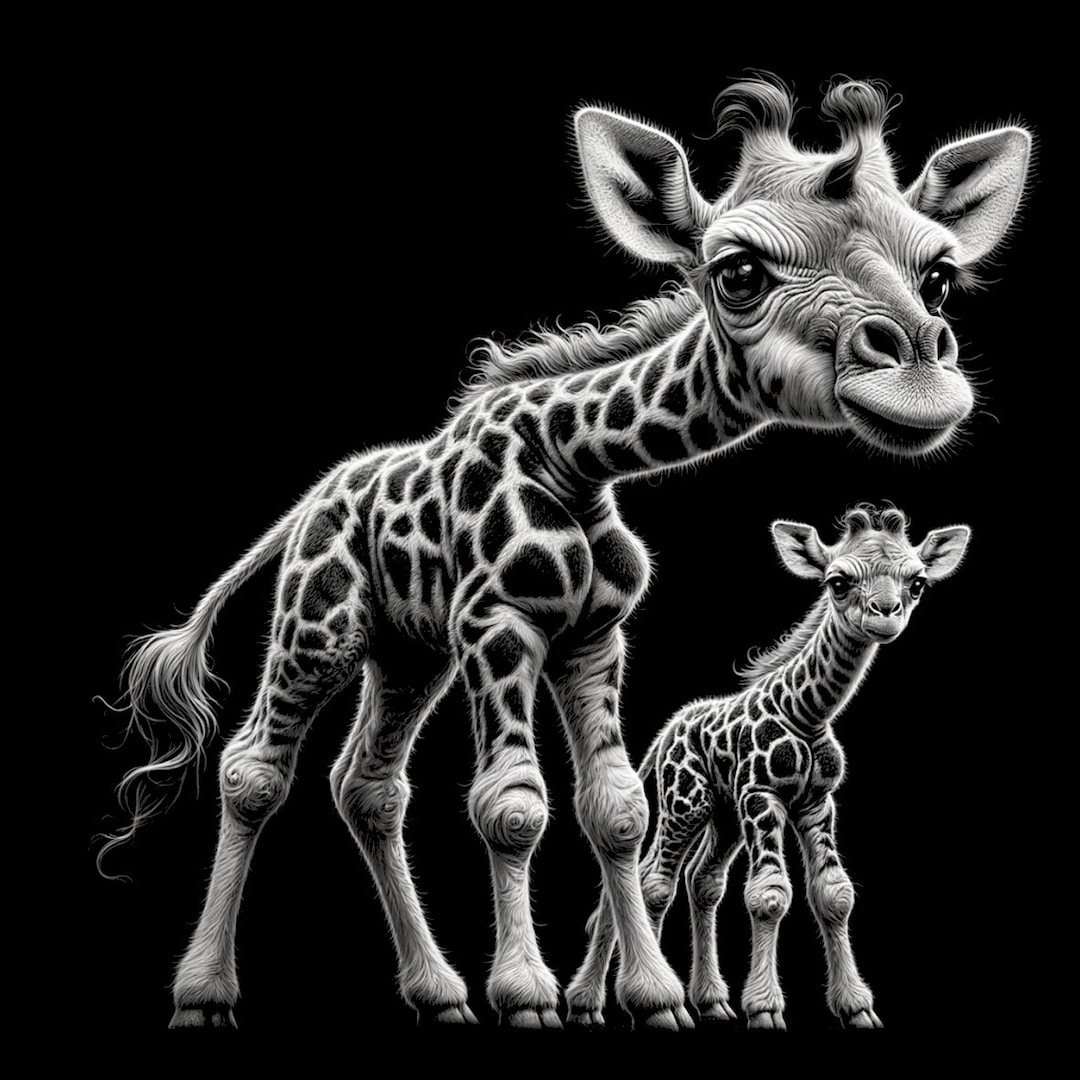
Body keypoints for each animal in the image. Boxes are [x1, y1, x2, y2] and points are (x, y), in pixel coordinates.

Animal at [569, 506, 971, 1030]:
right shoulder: (763, 797)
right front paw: (763, 1008)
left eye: (917, 582)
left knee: (702, 881)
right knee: (655, 880)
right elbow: (769, 895)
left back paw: (696, 1002)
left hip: (723, 814)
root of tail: (670, 729)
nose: (886, 615)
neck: (808, 712)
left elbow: (834, 896)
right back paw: (648, 1002)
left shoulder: (816, 804)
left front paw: (857, 1008)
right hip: (686, 802)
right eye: (837, 581)